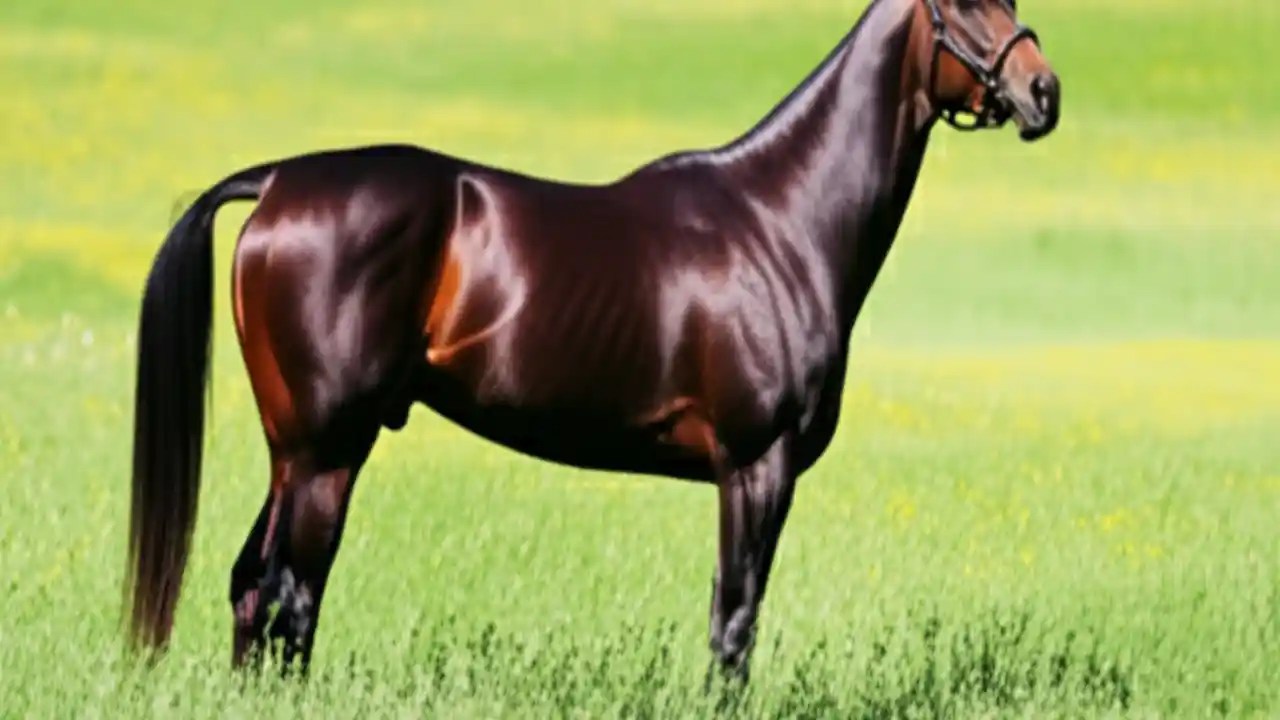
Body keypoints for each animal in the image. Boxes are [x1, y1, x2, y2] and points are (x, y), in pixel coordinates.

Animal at [126, 0, 1060, 680]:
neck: (781, 221)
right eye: (959, 3)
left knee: (254, 590)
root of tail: (277, 183)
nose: (1043, 91)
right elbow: (735, 626)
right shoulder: (755, 466)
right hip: (327, 451)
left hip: (295, 452)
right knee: (290, 595)